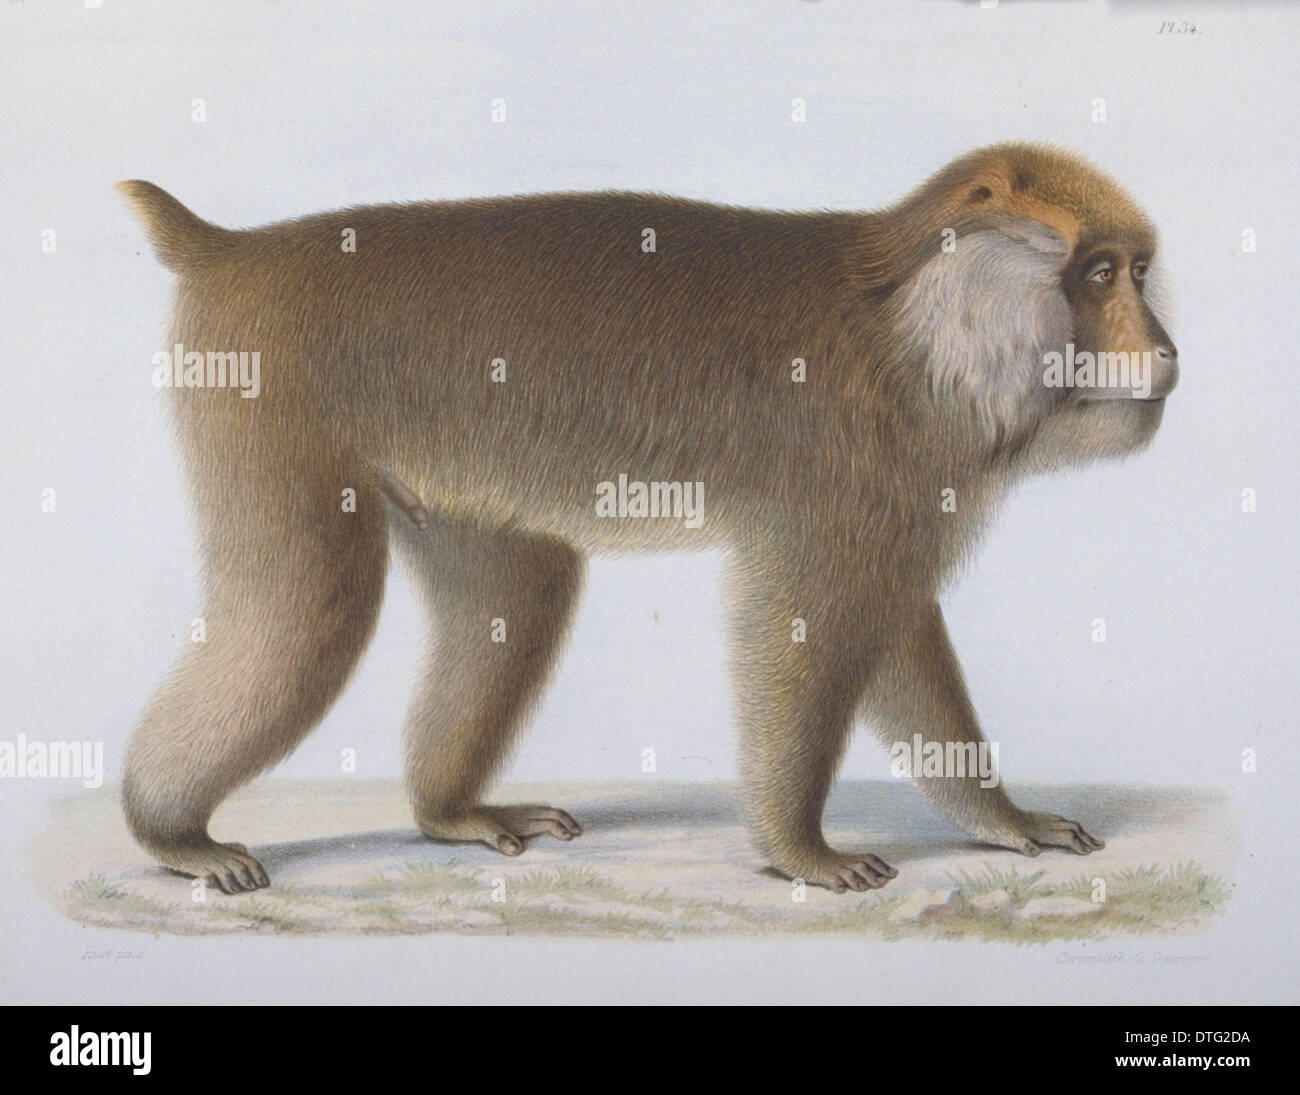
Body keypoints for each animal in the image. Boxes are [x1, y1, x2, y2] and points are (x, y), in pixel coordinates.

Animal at [117, 141, 1177, 895]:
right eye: (1100, 276)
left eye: (1137, 271)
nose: (1165, 347)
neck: (910, 328)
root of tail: (238, 247)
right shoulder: (853, 456)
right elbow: (812, 627)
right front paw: (801, 850)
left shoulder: (903, 477)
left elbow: (895, 634)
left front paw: (1005, 819)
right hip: (263, 384)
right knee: (308, 611)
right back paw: (171, 834)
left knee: (518, 592)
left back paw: (448, 811)